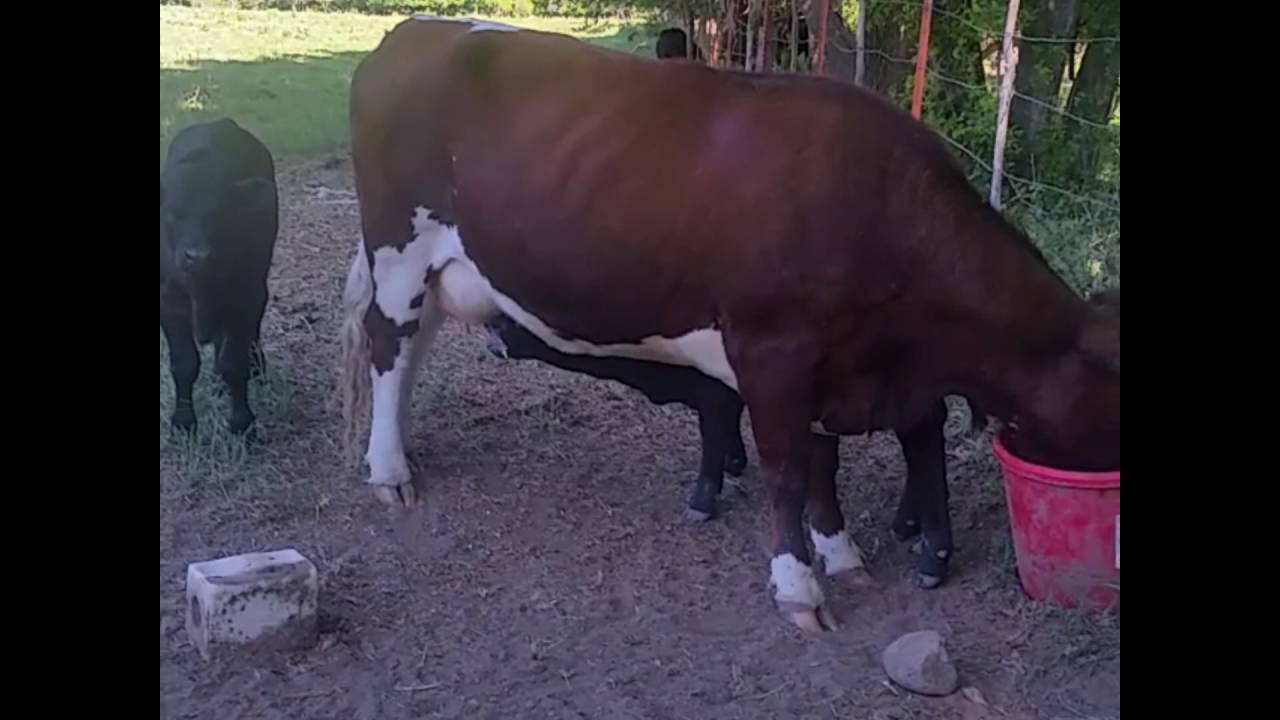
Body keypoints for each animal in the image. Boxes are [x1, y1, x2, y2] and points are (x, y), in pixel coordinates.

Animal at [160, 118, 278, 436]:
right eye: (171, 212)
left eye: (221, 213)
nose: (197, 256)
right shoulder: (169, 301)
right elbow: (184, 363)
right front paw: (183, 423)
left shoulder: (246, 296)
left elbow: (234, 364)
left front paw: (242, 424)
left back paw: (256, 366)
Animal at [339, 19, 1120, 632]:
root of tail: (416, 31)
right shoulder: (773, 346)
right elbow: (787, 470)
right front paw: (800, 588)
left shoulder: (828, 364)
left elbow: (822, 467)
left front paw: (841, 554)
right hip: (399, 245)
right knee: (388, 346)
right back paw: (389, 471)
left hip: (435, 266)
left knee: (411, 350)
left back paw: (401, 450)